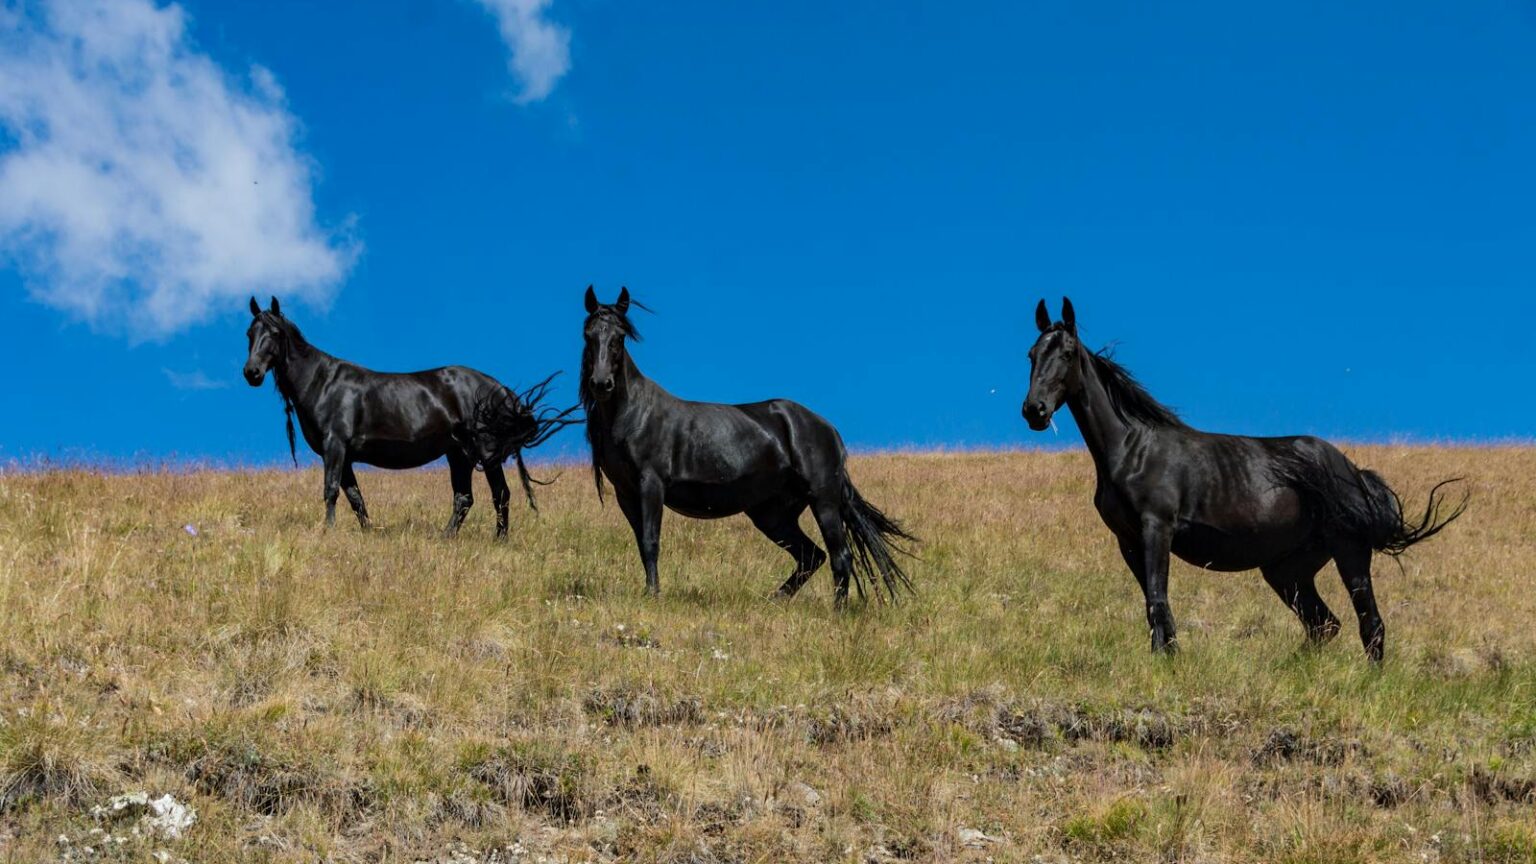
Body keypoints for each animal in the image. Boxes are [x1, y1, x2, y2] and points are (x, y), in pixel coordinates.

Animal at [242, 296, 578, 537]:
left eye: (274, 333)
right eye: (250, 333)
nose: (252, 373)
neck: (322, 382)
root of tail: (500, 389)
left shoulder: (334, 447)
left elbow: (331, 491)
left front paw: (328, 531)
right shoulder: (344, 455)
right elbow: (355, 497)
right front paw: (368, 533)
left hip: (487, 453)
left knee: (501, 494)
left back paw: (499, 539)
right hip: (459, 454)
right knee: (464, 498)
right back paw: (446, 537)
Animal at [578, 286, 915, 607]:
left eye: (620, 337)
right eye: (589, 334)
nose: (601, 384)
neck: (633, 413)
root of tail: (828, 430)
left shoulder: (651, 484)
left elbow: (651, 541)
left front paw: (653, 596)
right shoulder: (626, 492)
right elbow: (641, 542)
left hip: (824, 500)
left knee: (839, 556)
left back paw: (837, 611)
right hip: (771, 514)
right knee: (811, 555)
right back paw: (774, 601)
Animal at [1021, 298, 1465, 661]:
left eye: (1067, 353)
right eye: (1031, 354)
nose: (1034, 411)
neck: (1133, 449)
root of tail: (1353, 472)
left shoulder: (1156, 529)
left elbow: (1158, 599)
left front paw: (1168, 662)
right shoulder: (1128, 540)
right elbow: (1151, 601)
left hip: (1349, 550)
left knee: (1369, 624)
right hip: (1287, 572)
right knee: (1324, 625)